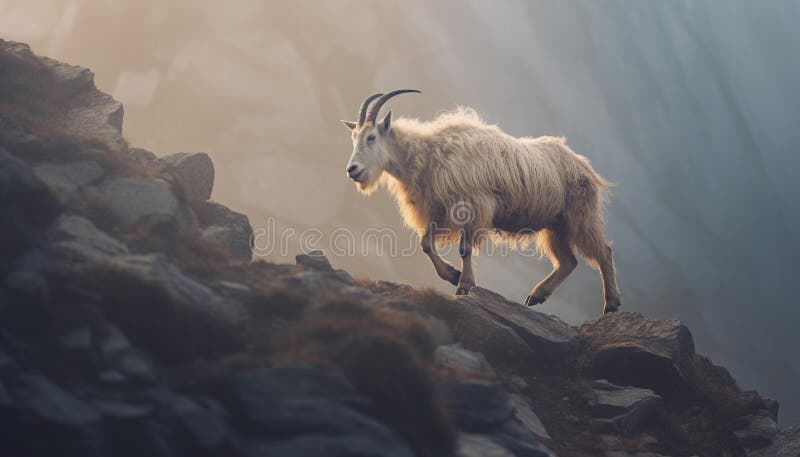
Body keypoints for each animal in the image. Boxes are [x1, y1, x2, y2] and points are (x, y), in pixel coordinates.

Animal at [342, 90, 621, 313]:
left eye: (371, 137)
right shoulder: (439, 211)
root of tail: (585, 167)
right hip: (555, 225)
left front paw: (464, 285)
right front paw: (452, 275)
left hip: (579, 216)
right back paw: (536, 296)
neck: (429, 153)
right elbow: (425, 244)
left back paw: (611, 304)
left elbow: (465, 248)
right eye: (354, 138)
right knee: (568, 261)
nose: (352, 170)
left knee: (603, 252)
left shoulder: (473, 206)